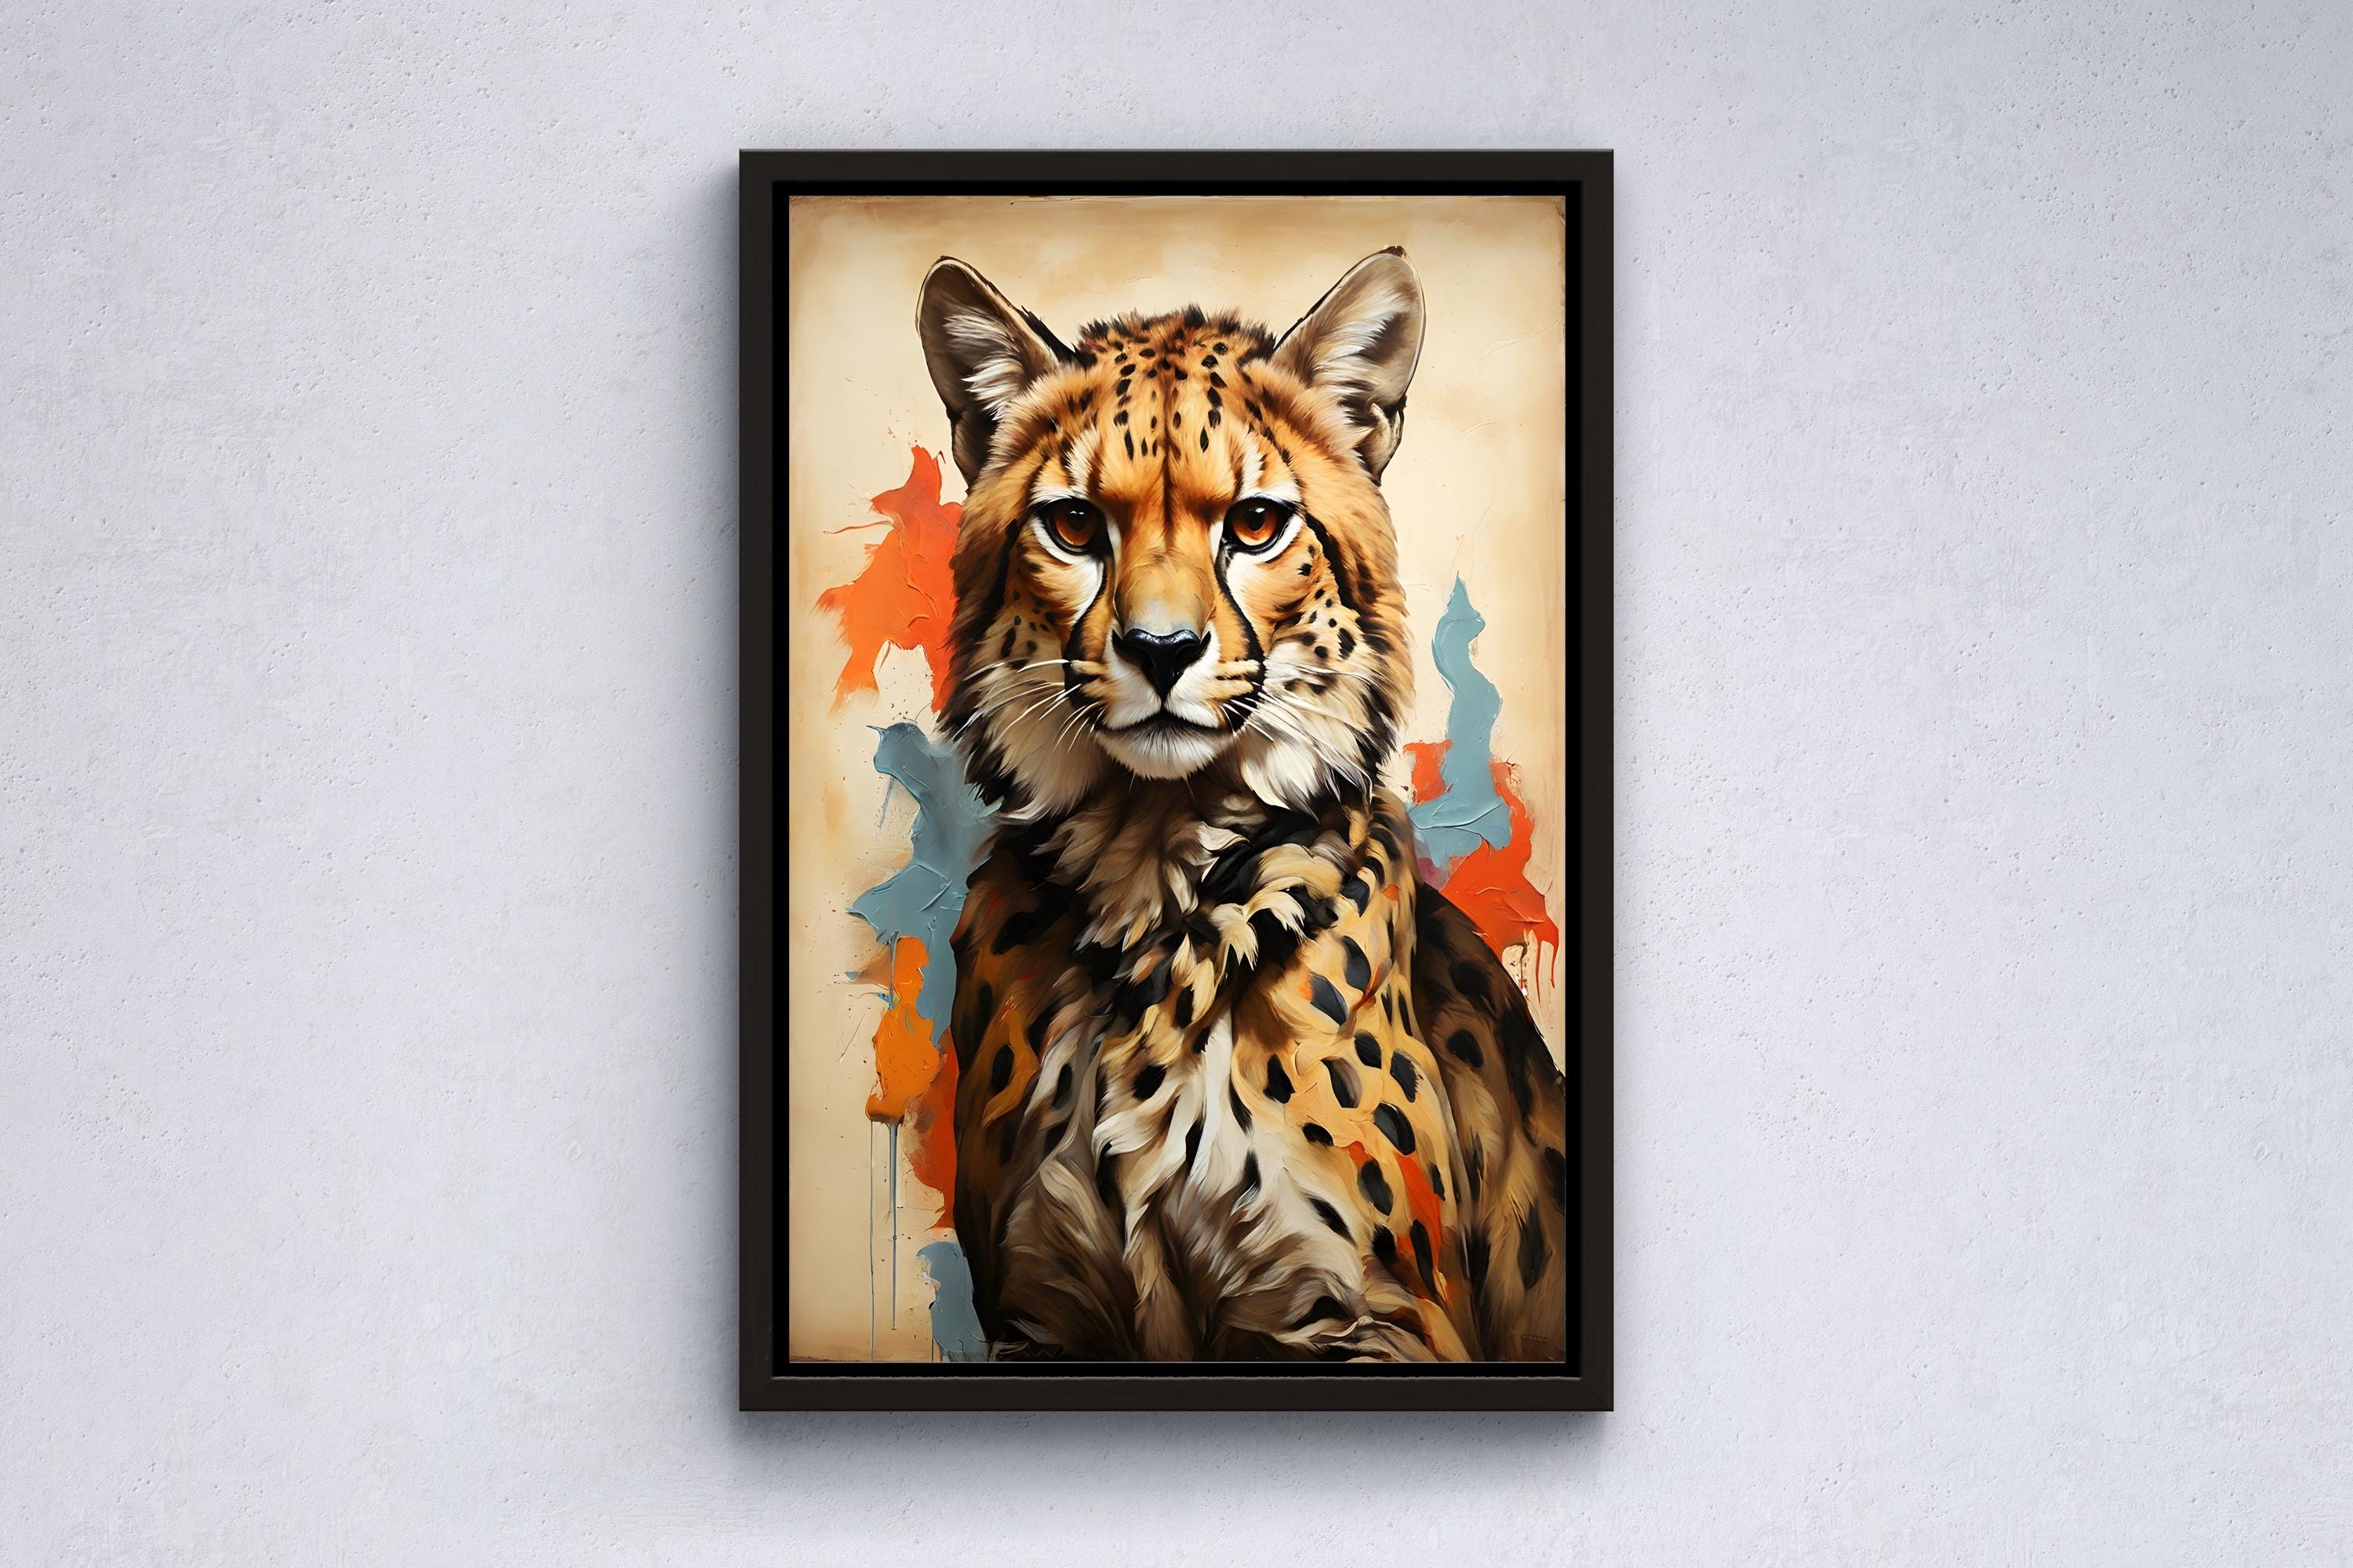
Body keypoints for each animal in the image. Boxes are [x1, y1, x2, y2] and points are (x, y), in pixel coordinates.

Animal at [918, 248, 1571, 1361]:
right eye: (1076, 524)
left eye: (1256, 524)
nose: (1162, 649)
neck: (1151, 888)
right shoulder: (1039, 1322)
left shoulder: (1371, 1320)